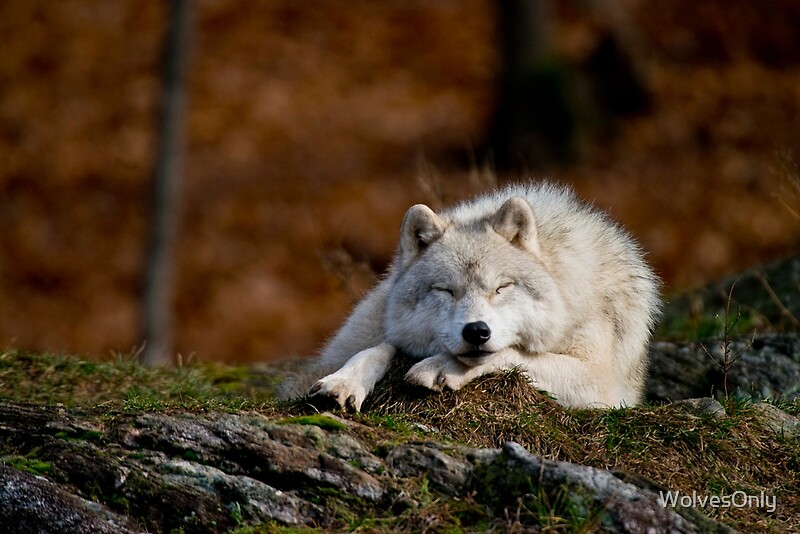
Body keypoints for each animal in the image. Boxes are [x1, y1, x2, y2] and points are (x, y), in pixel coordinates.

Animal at [280, 181, 660, 411]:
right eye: (446, 290)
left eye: (501, 288)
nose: (476, 331)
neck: (564, 289)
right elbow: (384, 347)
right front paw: (344, 381)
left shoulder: (602, 383)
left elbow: (515, 354)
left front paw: (440, 367)